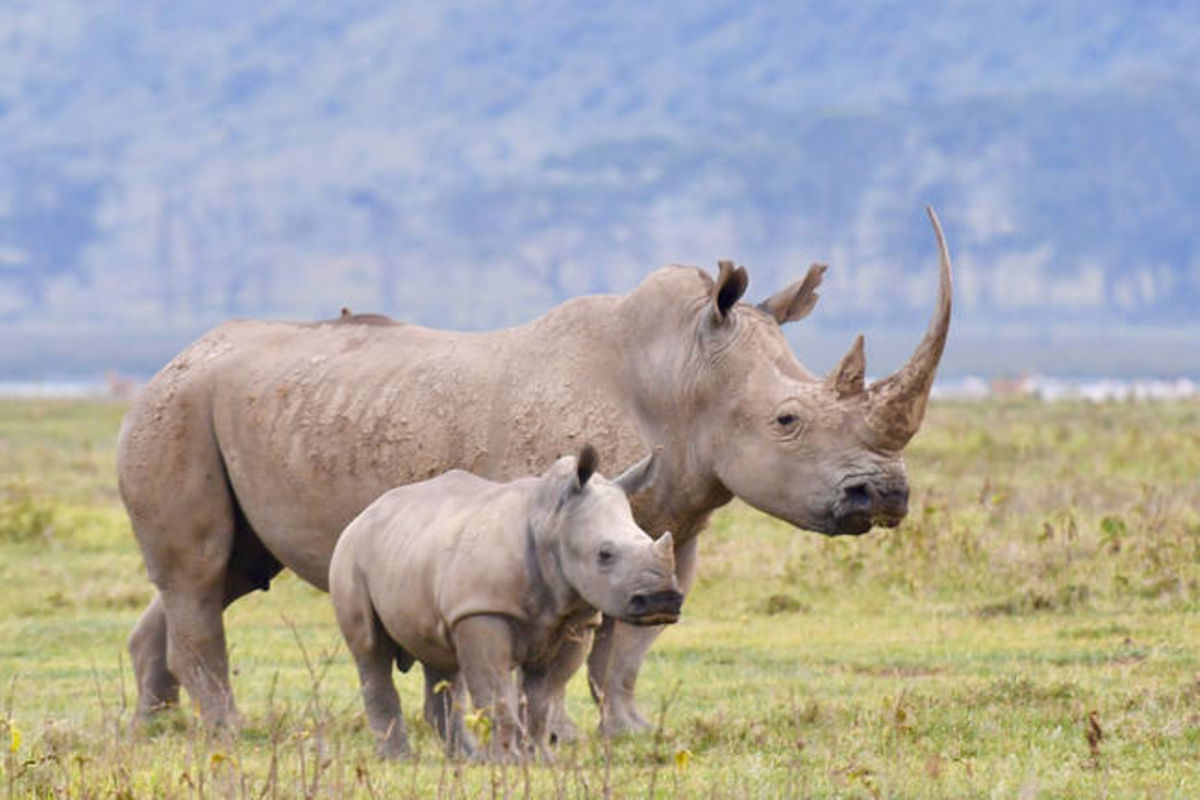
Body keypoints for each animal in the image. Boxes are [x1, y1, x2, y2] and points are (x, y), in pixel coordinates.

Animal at [329, 445, 680, 759]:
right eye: (604, 555)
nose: (662, 599)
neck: (550, 522)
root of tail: (365, 512)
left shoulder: (575, 620)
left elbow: (543, 697)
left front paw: (539, 759)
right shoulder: (482, 610)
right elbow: (497, 694)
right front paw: (507, 762)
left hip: (416, 552)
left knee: (442, 661)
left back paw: (467, 758)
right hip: (351, 552)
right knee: (371, 650)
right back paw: (398, 758)